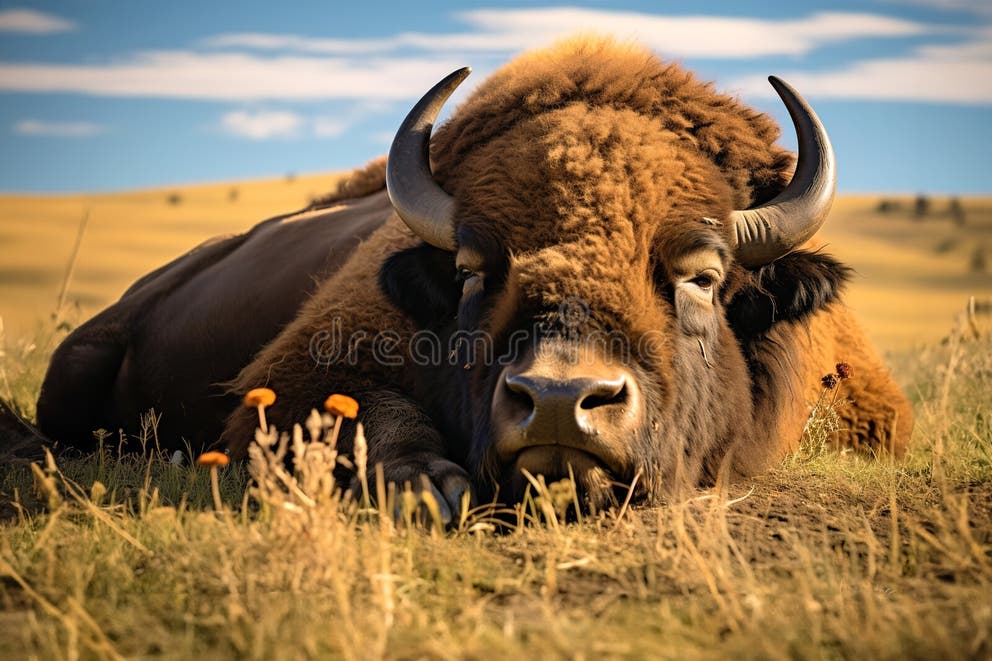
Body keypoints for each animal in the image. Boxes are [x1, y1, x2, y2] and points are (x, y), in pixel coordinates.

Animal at [36, 37, 911, 511]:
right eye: (468, 269)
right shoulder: (295, 377)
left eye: (702, 274)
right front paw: (429, 488)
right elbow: (361, 413)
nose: (558, 400)